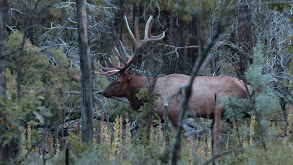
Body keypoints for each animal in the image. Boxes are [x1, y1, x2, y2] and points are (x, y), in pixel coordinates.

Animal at [96, 15, 249, 126]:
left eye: (118, 81)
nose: (104, 92)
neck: (152, 94)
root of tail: (248, 87)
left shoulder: (174, 114)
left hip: (234, 112)